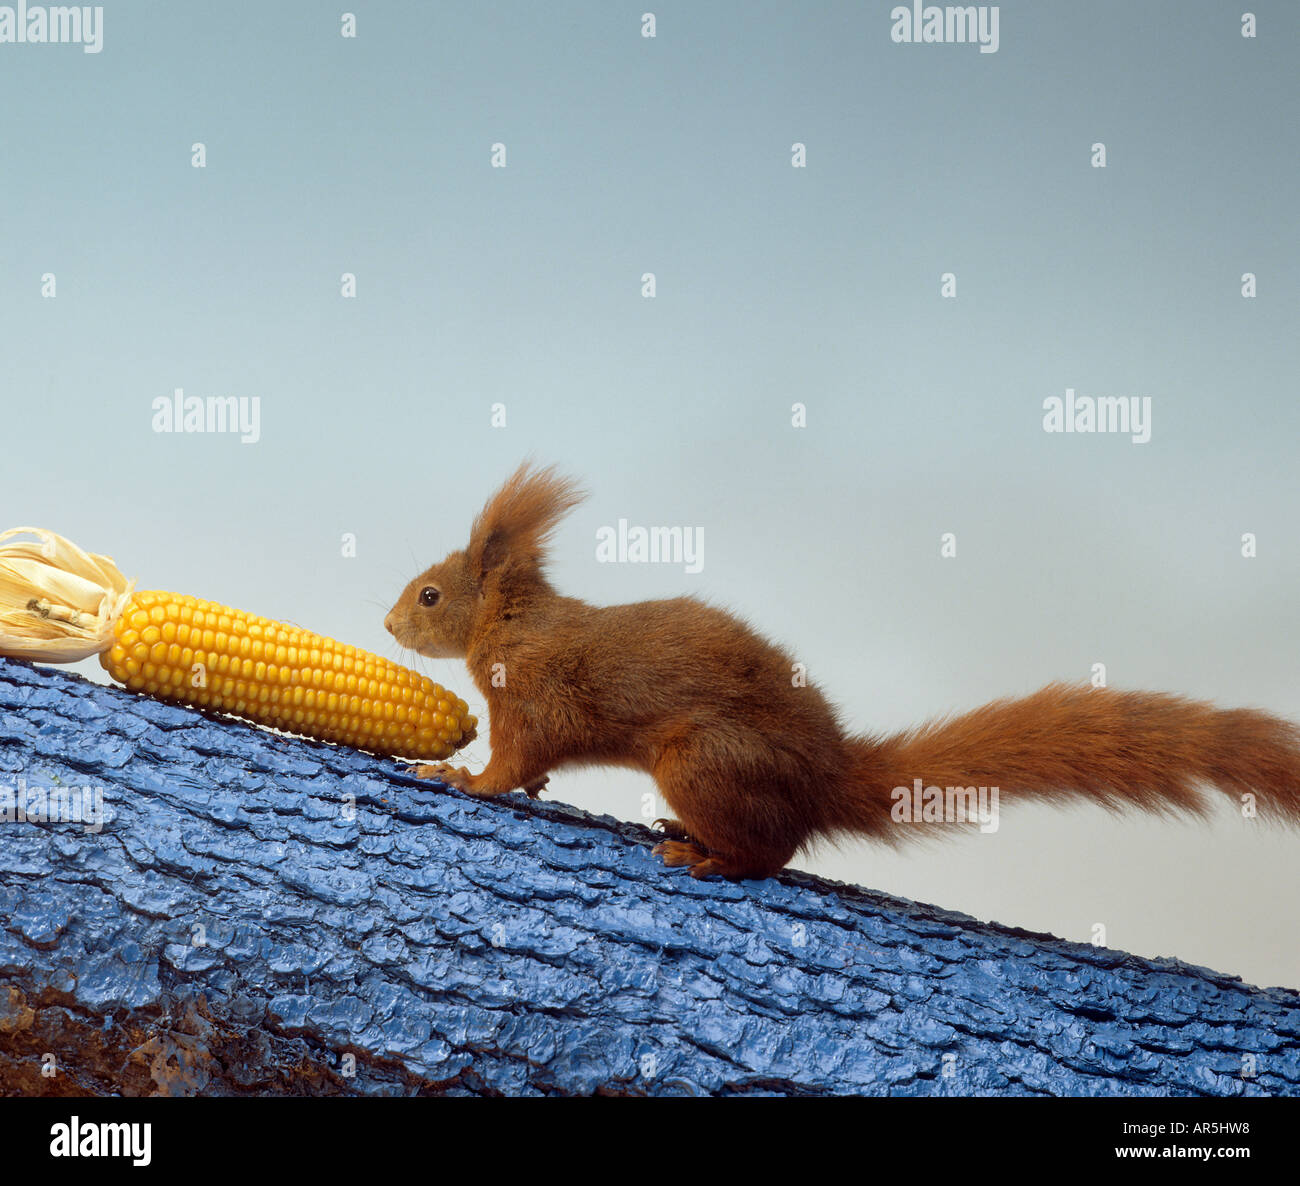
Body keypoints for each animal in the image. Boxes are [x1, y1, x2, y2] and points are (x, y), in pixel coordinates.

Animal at [384, 462, 1300, 880]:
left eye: (429, 594)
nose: (387, 623)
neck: (512, 622)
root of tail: (826, 775)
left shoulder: (535, 697)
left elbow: (514, 761)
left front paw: (461, 777)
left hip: (703, 762)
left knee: (772, 855)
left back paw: (708, 856)